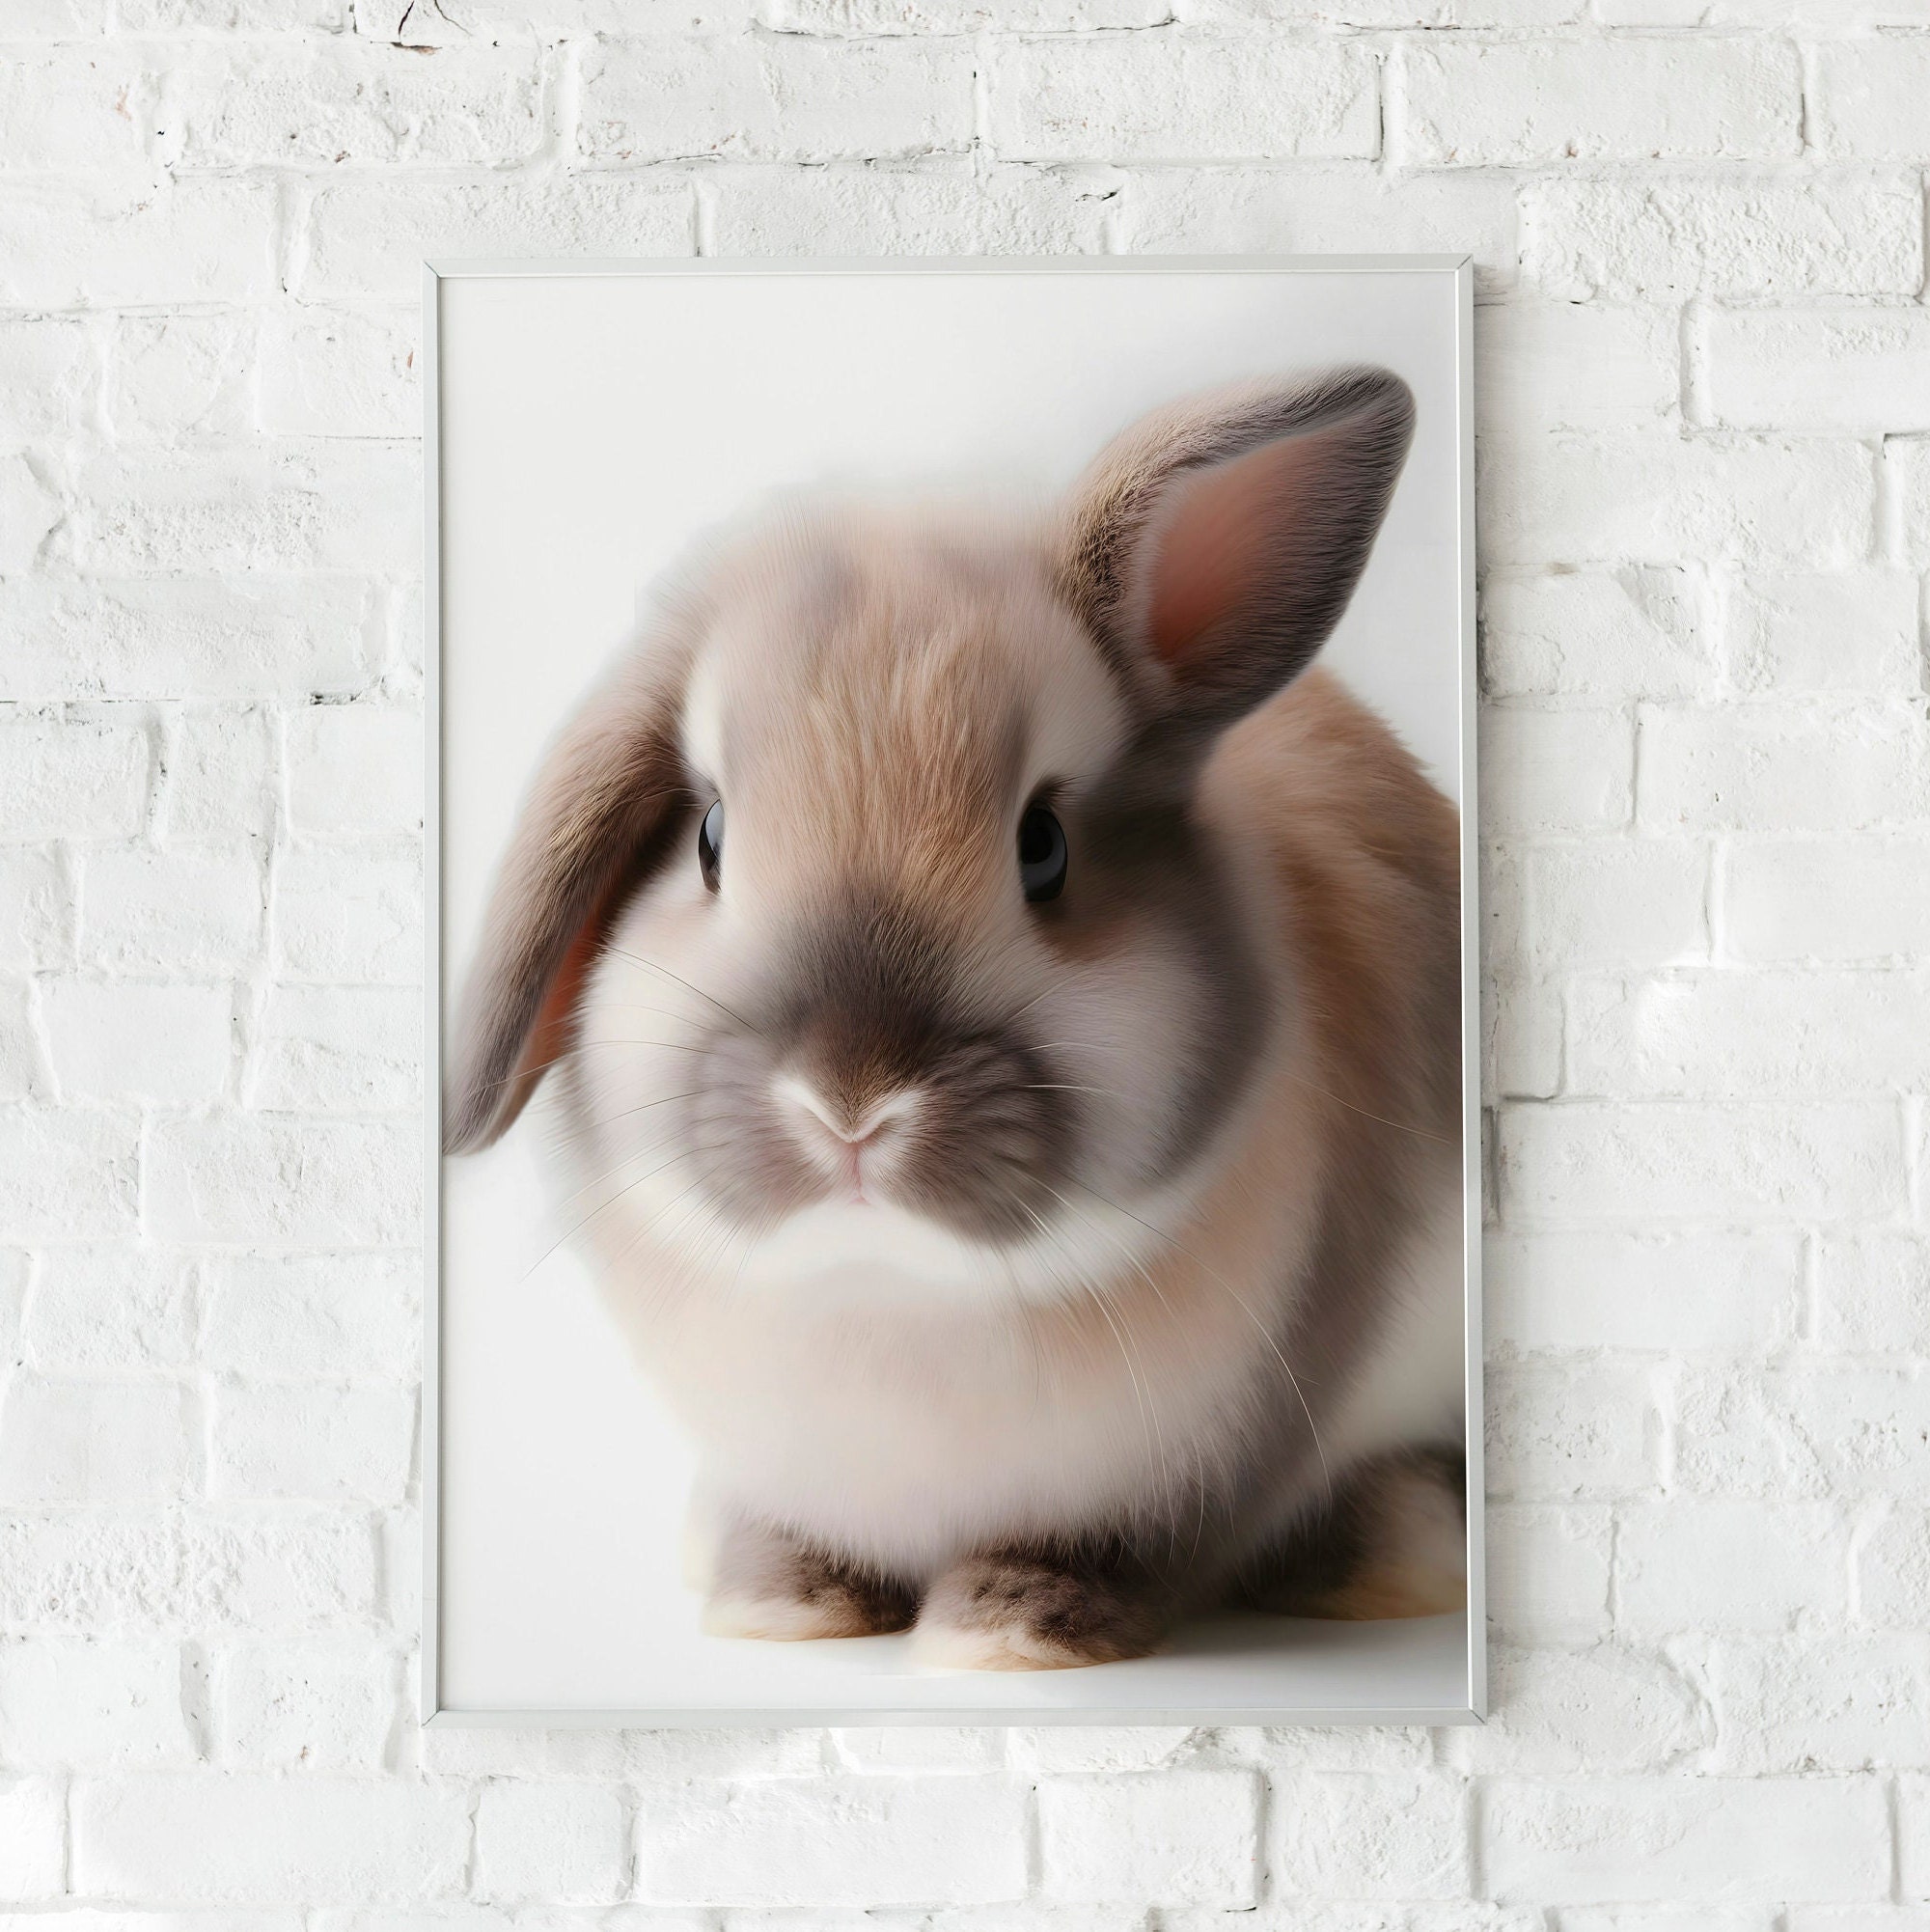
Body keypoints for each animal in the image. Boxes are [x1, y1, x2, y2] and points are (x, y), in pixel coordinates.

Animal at [445, 366, 1466, 1670]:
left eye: (1043, 847)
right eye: (709, 837)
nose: (848, 1104)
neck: (887, 1292)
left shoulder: (1230, 1443)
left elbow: (1134, 1548)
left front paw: (1011, 1626)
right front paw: (779, 1601)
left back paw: (1385, 1553)